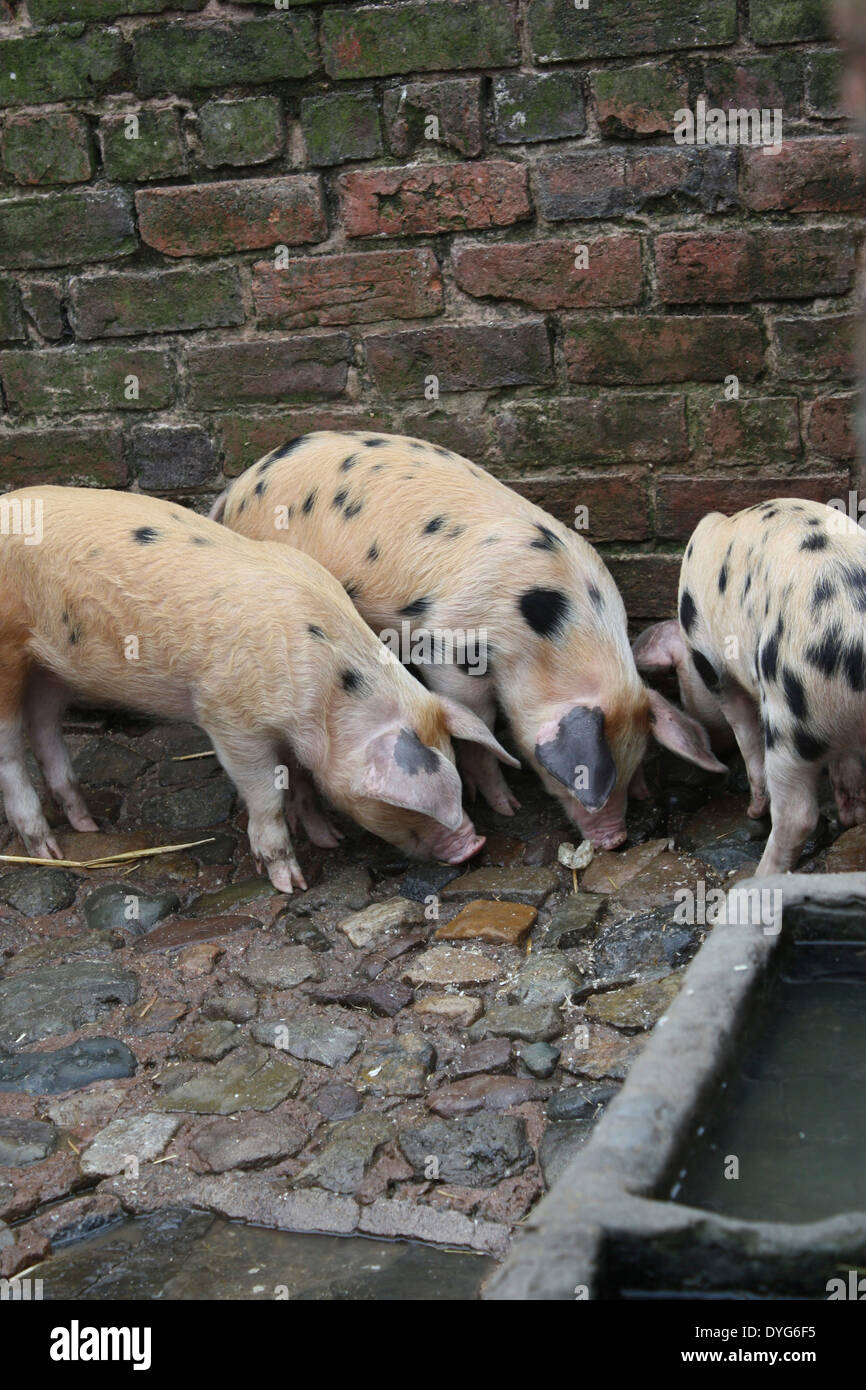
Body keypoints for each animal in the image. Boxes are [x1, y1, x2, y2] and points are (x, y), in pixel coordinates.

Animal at [0, 486, 519, 891]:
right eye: (417, 802)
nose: (474, 843)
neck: (329, 696)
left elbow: (302, 782)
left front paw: (327, 838)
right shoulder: (230, 721)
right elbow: (266, 795)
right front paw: (293, 884)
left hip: (49, 665)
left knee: (44, 727)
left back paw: (86, 824)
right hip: (7, 650)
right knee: (10, 750)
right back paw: (46, 851)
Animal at [210, 430, 724, 848]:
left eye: (633, 764)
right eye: (574, 776)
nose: (615, 840)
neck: (545, 636)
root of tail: (236, 488)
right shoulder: (450, 652)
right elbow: (479, 726)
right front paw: (506, 807)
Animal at [634, 498, 866, 875]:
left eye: (682, 682)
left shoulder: (717, 671)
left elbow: (745, 734)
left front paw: (752, 810)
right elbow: (847, 767)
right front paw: (851, 816)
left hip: (788, 721)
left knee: (797, 815)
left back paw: (760, 874)